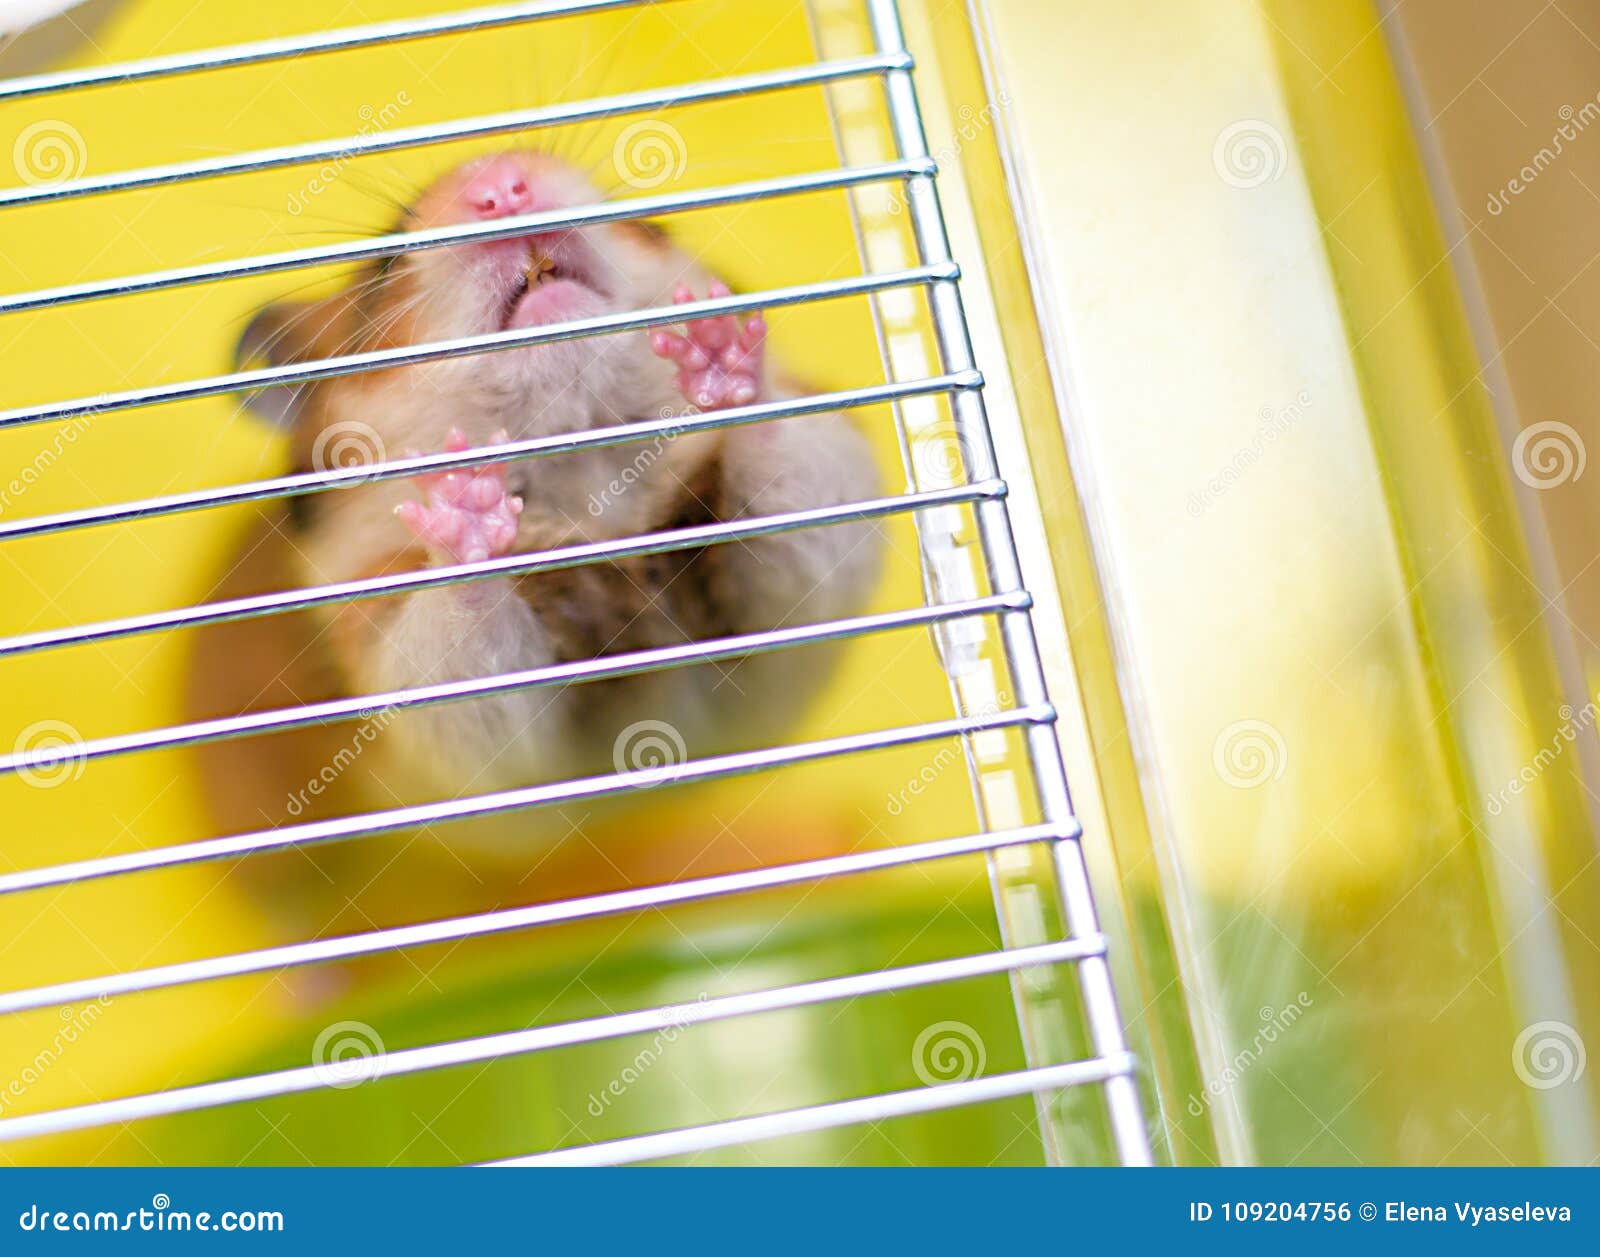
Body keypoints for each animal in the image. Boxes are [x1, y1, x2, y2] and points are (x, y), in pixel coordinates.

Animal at [195, 149, 883, 848]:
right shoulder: (394, 648)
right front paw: (467, 492)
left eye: (644, 218)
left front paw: (715, 346)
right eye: (385, 262)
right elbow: (461, 653)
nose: (501, 181)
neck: (591, 483)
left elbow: (789, 476)